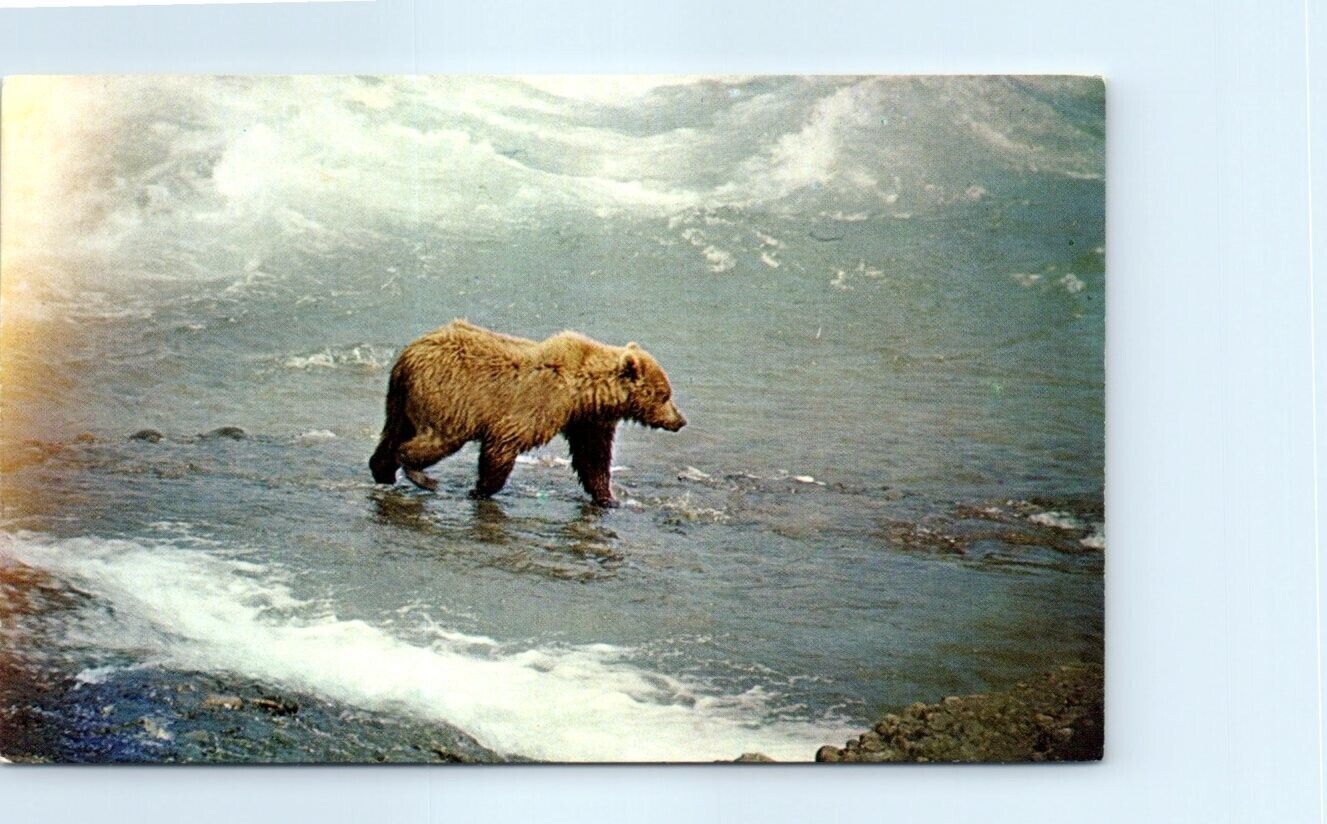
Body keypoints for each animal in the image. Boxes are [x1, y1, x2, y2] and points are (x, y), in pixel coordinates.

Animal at [369, 319, 686, 506]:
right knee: (435, 439)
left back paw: (383, 471)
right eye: (665, 395)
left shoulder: (586, 420)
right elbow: (503, 445)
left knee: (392, 433)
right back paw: (421, 475)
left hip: (402, 402)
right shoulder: (539, 405)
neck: (585, 394)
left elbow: (592, 458)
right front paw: (481, 489)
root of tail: (407, 356)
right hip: (447, 399)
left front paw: (608, 498)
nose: (680, 420)